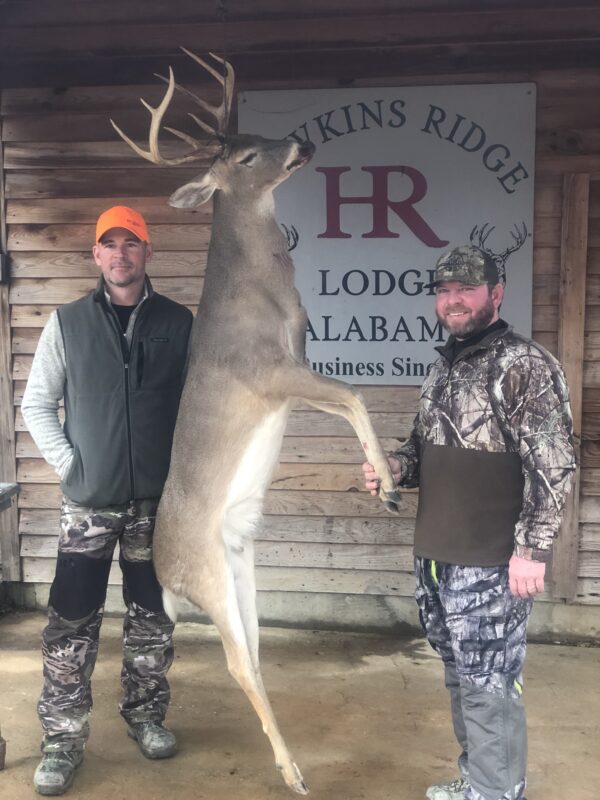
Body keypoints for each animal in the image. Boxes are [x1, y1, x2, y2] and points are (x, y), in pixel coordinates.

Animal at [111, 49, 401, 795]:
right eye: (244, 157)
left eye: (259, 137)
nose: (301, 144)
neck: (263, 297)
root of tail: (167, 574)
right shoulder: (267, 373)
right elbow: (355, 397)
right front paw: (388, 489)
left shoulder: (295, 370)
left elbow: (349, 399)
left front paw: (382, 481)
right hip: (211, 575)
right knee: (239, 662)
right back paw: (293, 771)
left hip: (242, 570)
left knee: (258, 654)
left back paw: (288, 758)